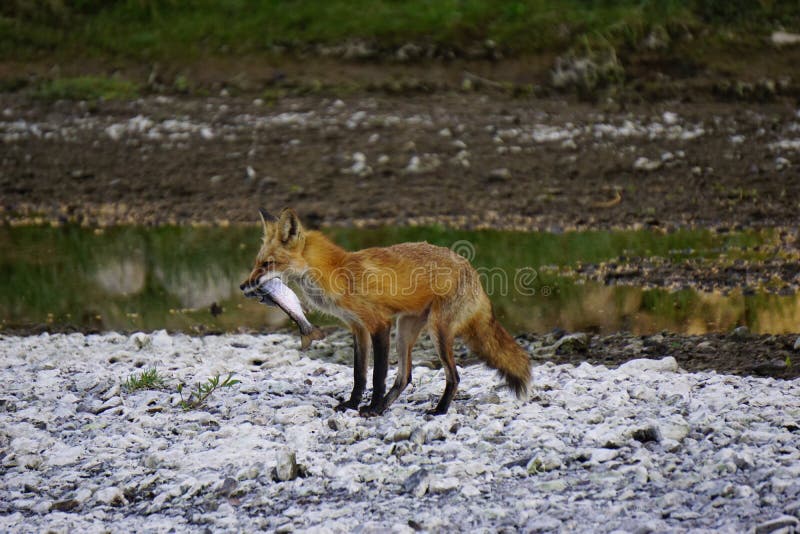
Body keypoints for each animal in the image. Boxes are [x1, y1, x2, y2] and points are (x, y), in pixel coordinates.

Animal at [240, 207, 531, 416]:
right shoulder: (357, 328)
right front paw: (353, 405)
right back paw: (384, 408)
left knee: (453, 376)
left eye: (267, 264)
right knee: (405, 376)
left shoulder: (379, 324)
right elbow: (359, 374)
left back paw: (437, 410)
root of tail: (473, 272)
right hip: (405, 331)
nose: (243, 286)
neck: (337, 273)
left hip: (437, 331)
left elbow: (377, 375)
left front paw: (368, 407)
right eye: (256, 263)